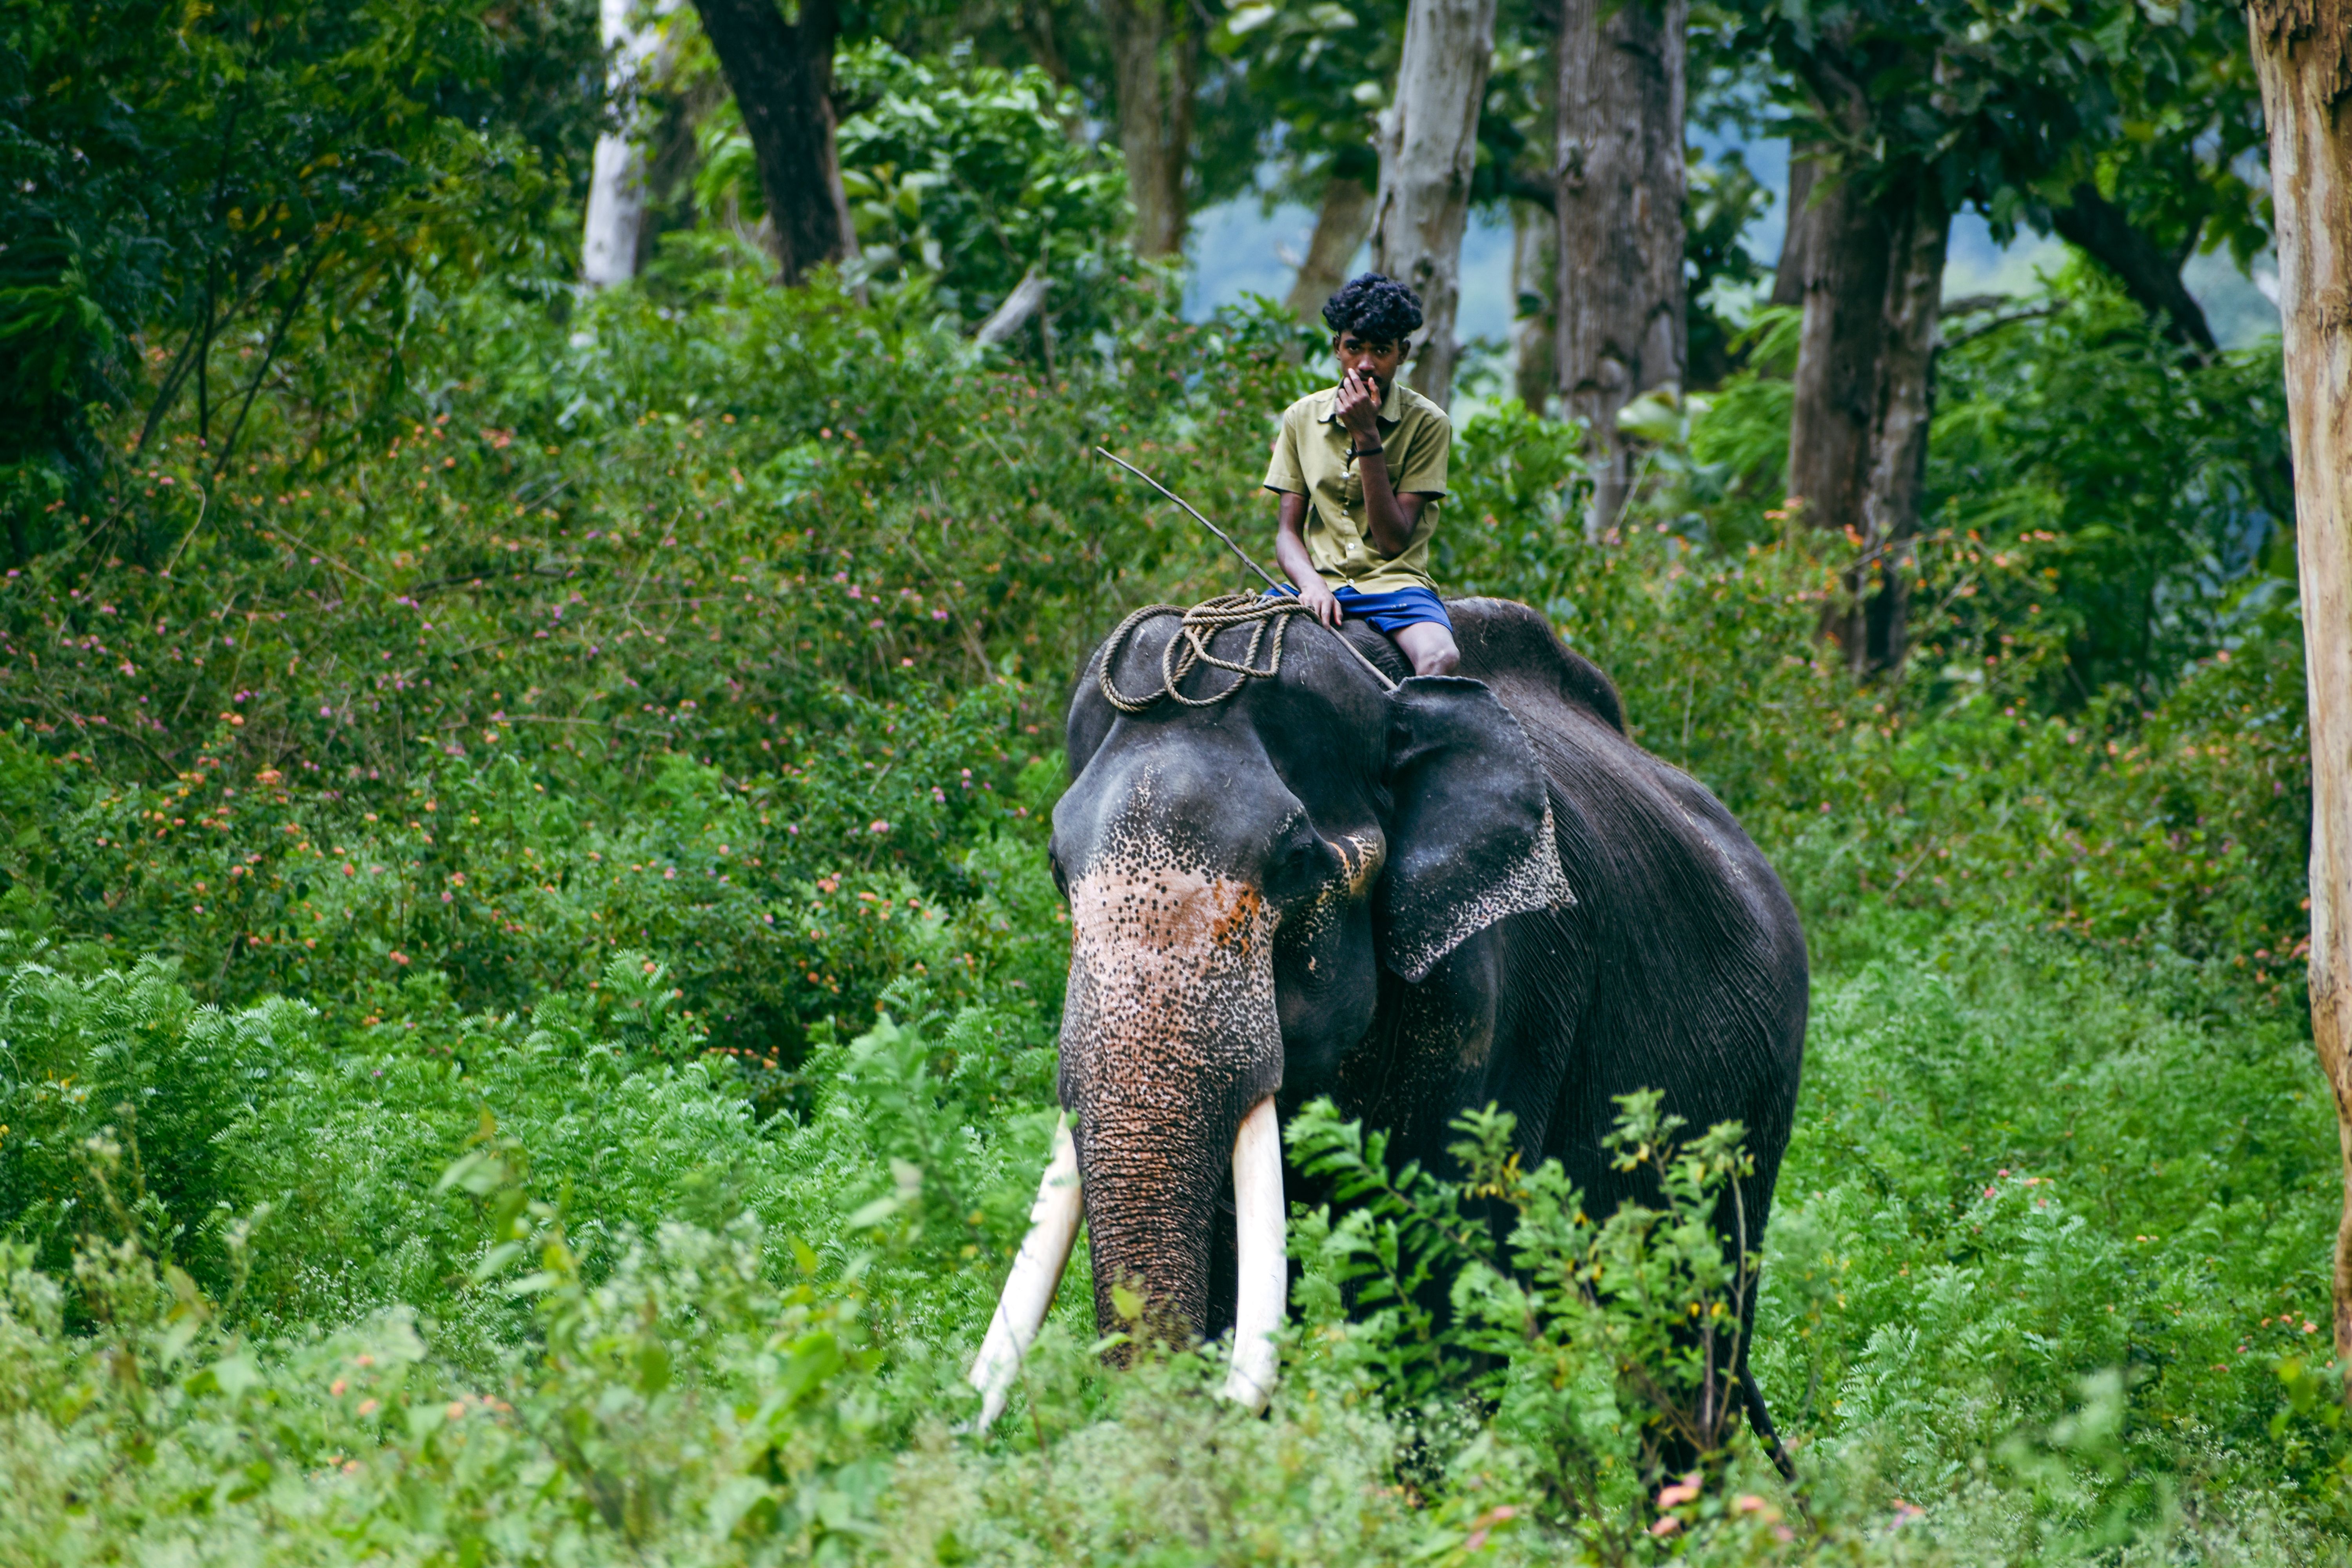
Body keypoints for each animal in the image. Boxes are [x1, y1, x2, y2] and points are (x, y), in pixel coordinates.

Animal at [968, 595, 1808, 1458]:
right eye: (1057, 866)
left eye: (1292, 861)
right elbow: (1236, 1266)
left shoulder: (1499, 998)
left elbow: (1435, 1280)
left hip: (1753, 1098)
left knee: (1689, 1324)